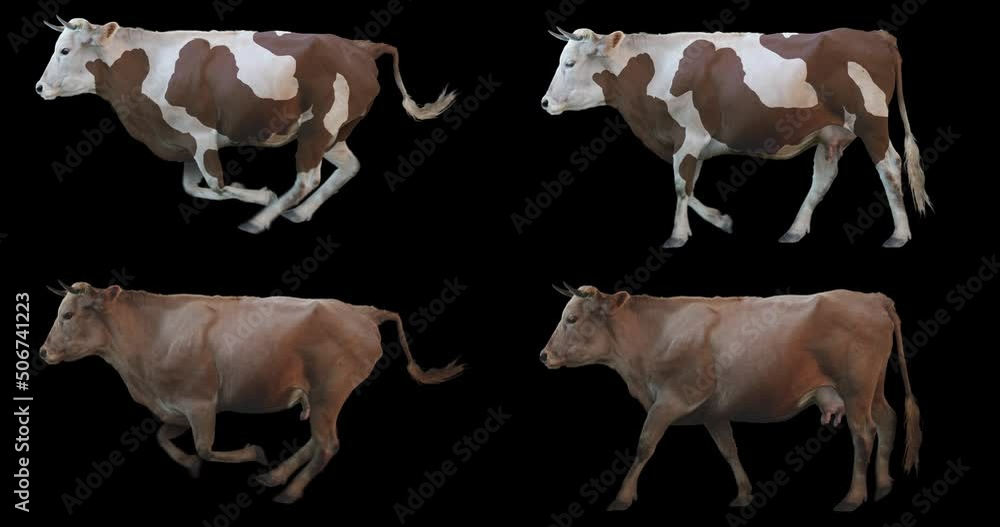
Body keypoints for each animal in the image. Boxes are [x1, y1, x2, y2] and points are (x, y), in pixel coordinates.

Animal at [36, 16, 457, 233]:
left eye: (65, 50)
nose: (39, 87)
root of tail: (359, 47)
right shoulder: (184, 141)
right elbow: (193, 187)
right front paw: (254, 194)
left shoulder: (202, 136)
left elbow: (217, 185)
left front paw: (262, 196)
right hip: (334, 131)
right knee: (348, 167)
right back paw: (300, 213)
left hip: (320, 127)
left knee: (308, 177)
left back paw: (263, 218)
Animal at [39, 281, 465, 503]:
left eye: (68, 315)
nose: (43, 352)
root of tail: (362, 312)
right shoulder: (175, 409)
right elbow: (164, 438)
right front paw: (189, 465)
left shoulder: (201, 403)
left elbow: (206, 447)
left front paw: (253, 453)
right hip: (321, 396)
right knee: (317, 441)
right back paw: (276, 477)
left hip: (330, 391)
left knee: (327, 443)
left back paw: (289, 490)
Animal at [539, 284, 922, 512]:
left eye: (571, 318)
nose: (544, 355)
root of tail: (871, 297)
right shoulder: (713, 412)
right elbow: (729, 449)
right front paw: (743, 493)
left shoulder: (672, 399)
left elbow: (645, 445)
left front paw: (622, 497)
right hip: (873, 388)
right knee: (887, 419)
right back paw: (884, 485)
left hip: (856, 388)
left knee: (863, 433)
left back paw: (853, 497)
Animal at [541, 28, 931, 248]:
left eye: (570, 63)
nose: (544, 102)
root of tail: (876, 35)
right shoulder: (690, 145)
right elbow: (688, 187)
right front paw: (714, 222)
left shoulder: (688, 137)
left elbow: (681, 186)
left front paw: (682, 234)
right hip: (831, 134)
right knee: (823, 178)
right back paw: (794, 230)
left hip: (871, 120)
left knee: (890, 167)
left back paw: (899, 234)